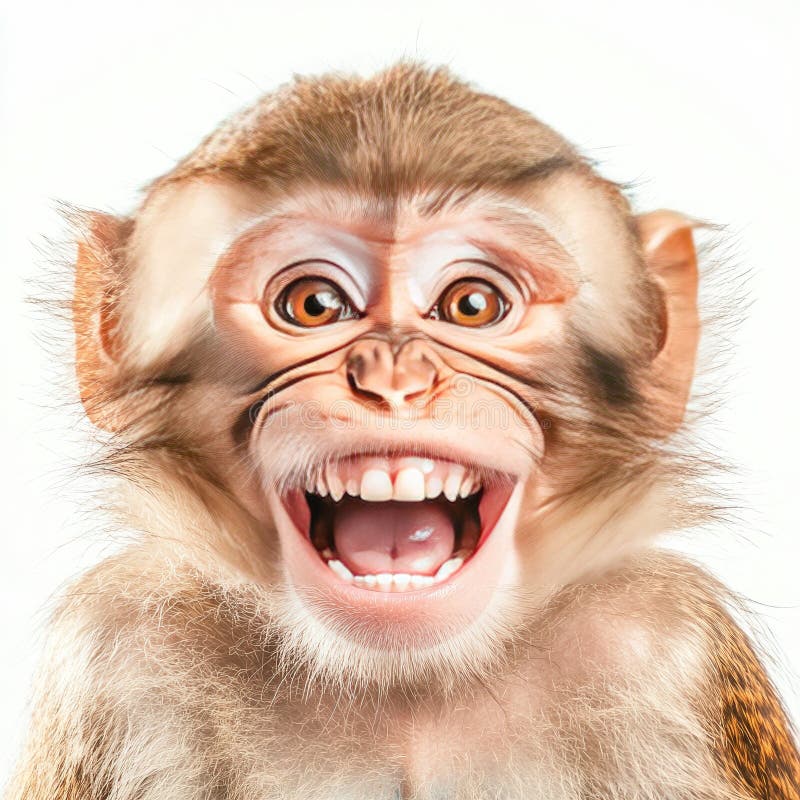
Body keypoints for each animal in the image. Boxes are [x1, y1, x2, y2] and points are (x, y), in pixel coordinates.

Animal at [5, 63, 799, 800]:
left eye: (473, 304)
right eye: (314, 304)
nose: (394, 376)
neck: (405, 687)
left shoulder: (664, 646)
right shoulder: (114, 650)